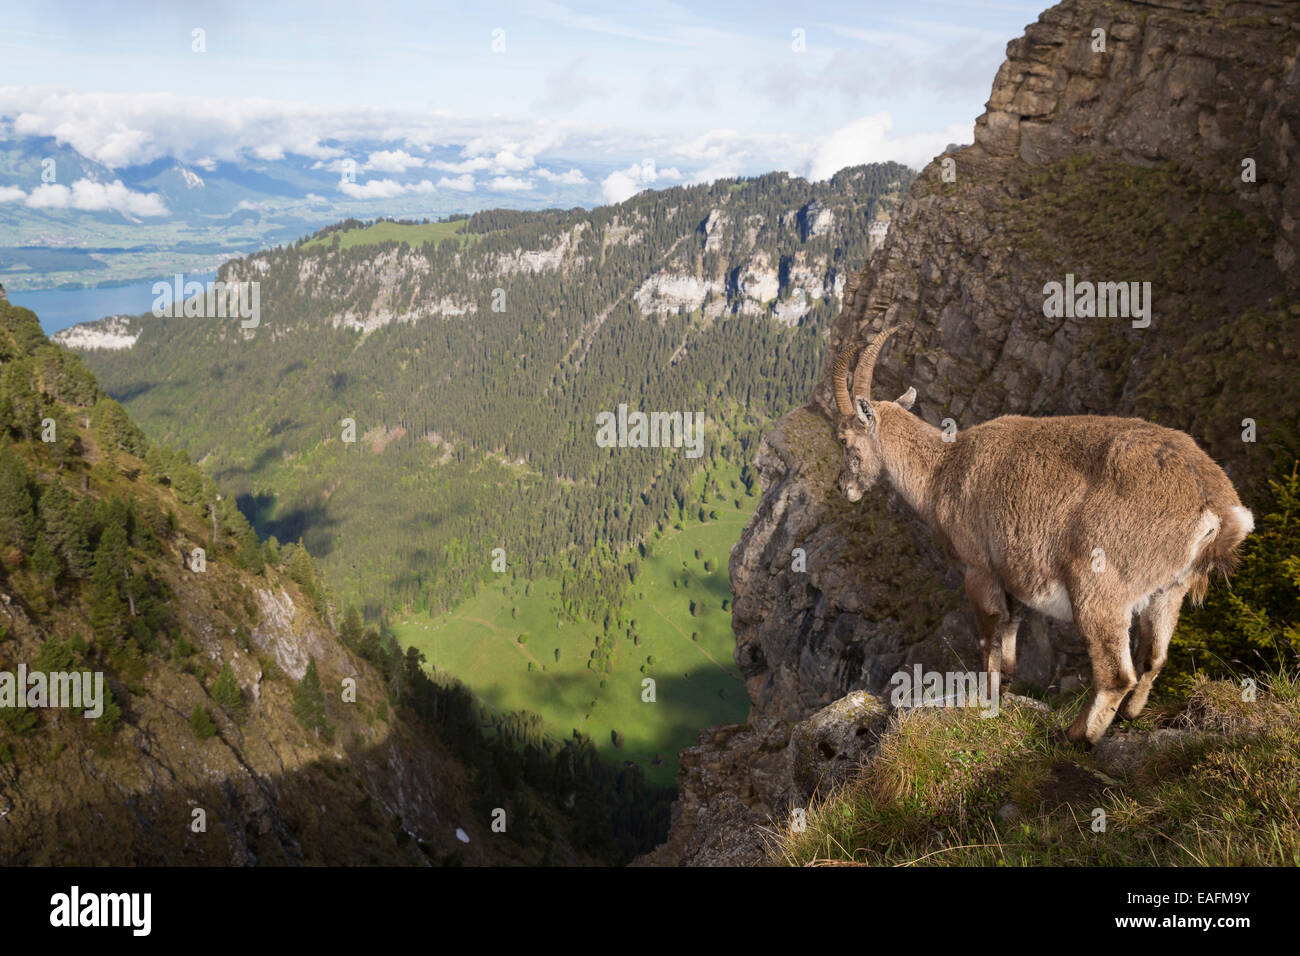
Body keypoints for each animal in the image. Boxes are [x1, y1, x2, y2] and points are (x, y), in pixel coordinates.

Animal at [831, 326, 1253, 744]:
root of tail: (1219, 507)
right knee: (1153, 657)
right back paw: (1127, 717)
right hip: (1170, 590)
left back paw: (1077, 735)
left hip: (1099, 584)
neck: (942, 470)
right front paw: (1005, 692)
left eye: (844, 440)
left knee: (1116, 673)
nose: (843, 488)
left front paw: (986, 703)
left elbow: (988, 636)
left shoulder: (978, 569)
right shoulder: (1012, 578)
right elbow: (1010, 637)